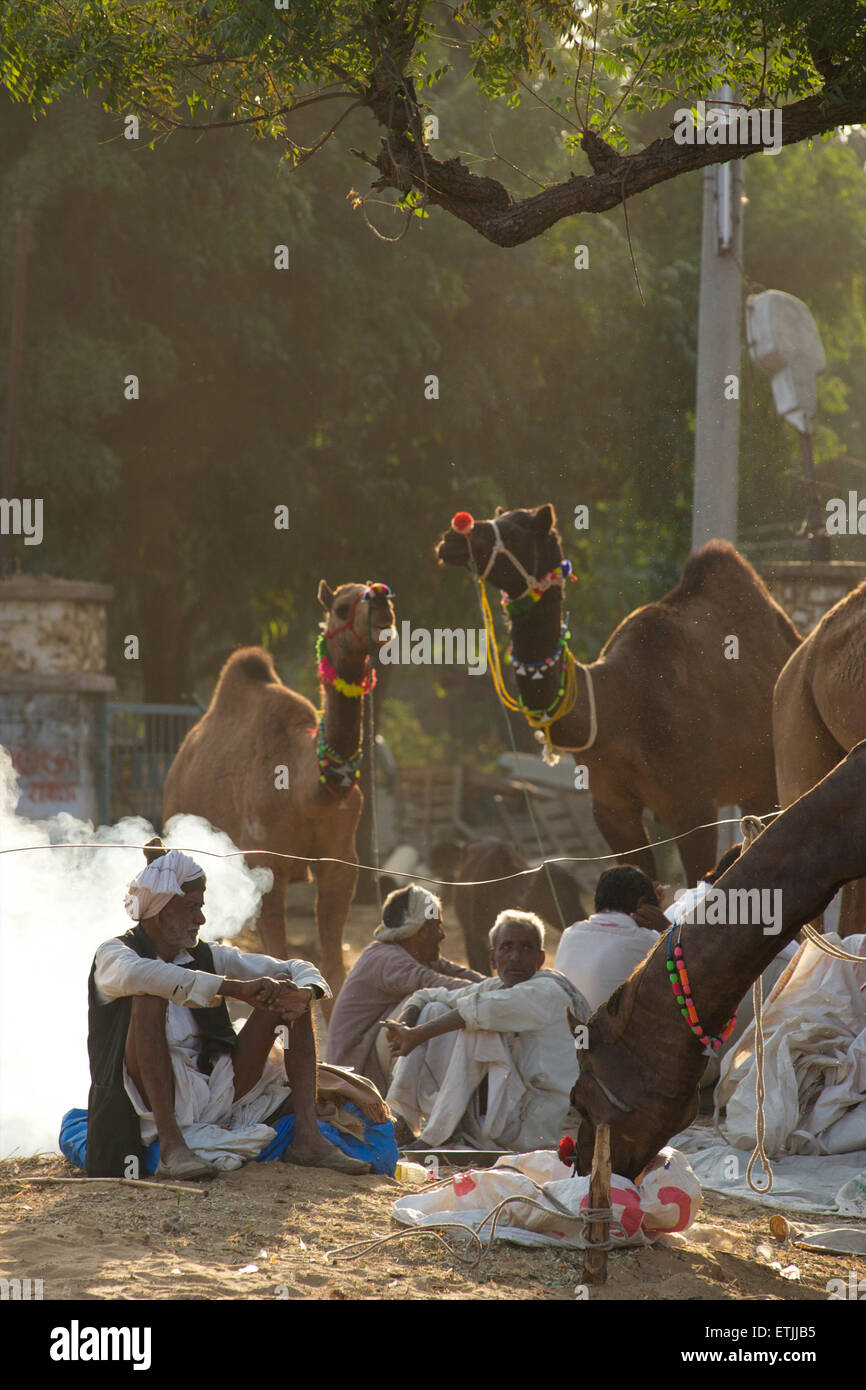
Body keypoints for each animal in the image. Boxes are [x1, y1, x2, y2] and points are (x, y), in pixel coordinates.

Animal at [162, 581, 395, 999]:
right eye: (341, 607)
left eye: (379, 591)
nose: (382, 604)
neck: (307, 791)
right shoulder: (264, 863)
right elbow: (280, 958)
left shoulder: (341, 863)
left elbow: (333, 966)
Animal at [436, 504, 801, 886]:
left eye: (514, 530)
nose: (452, 537)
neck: (616, 706)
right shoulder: (612, 808)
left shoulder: (694, 807)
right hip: (756, 787)